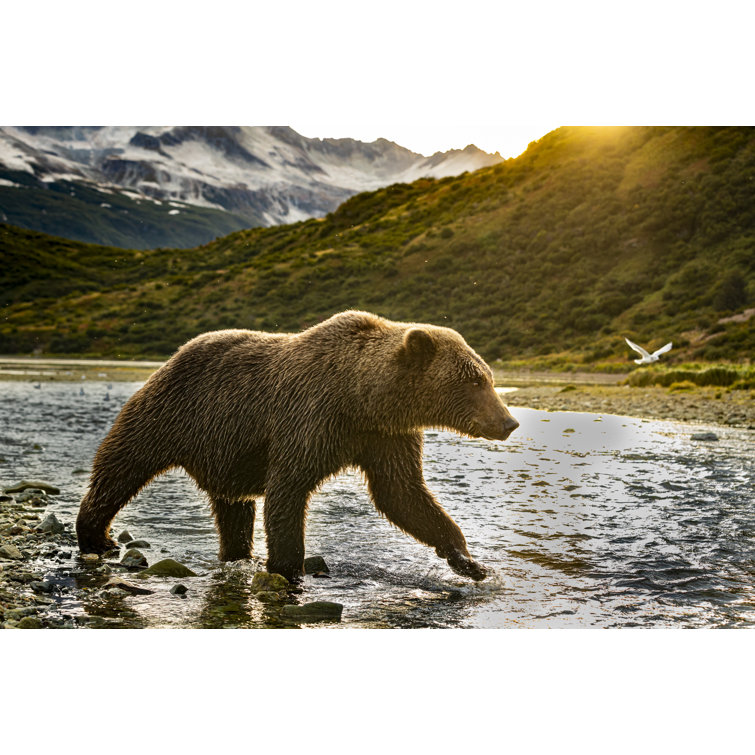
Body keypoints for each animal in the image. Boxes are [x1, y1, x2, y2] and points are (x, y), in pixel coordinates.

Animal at [76, 310, 519, 581]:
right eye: (474, 380)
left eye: (488, 376)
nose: (509, 422)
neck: (362, 398)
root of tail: (175, 353)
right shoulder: (310, 418)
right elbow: (288, 490)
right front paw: (289, 568)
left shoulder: (386, 436)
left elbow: (403, 493)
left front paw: (467, 559)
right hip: (170, 412)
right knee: (122, 465)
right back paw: (96, 535)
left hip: (225, 449)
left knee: (233, 507)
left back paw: (236, 554)